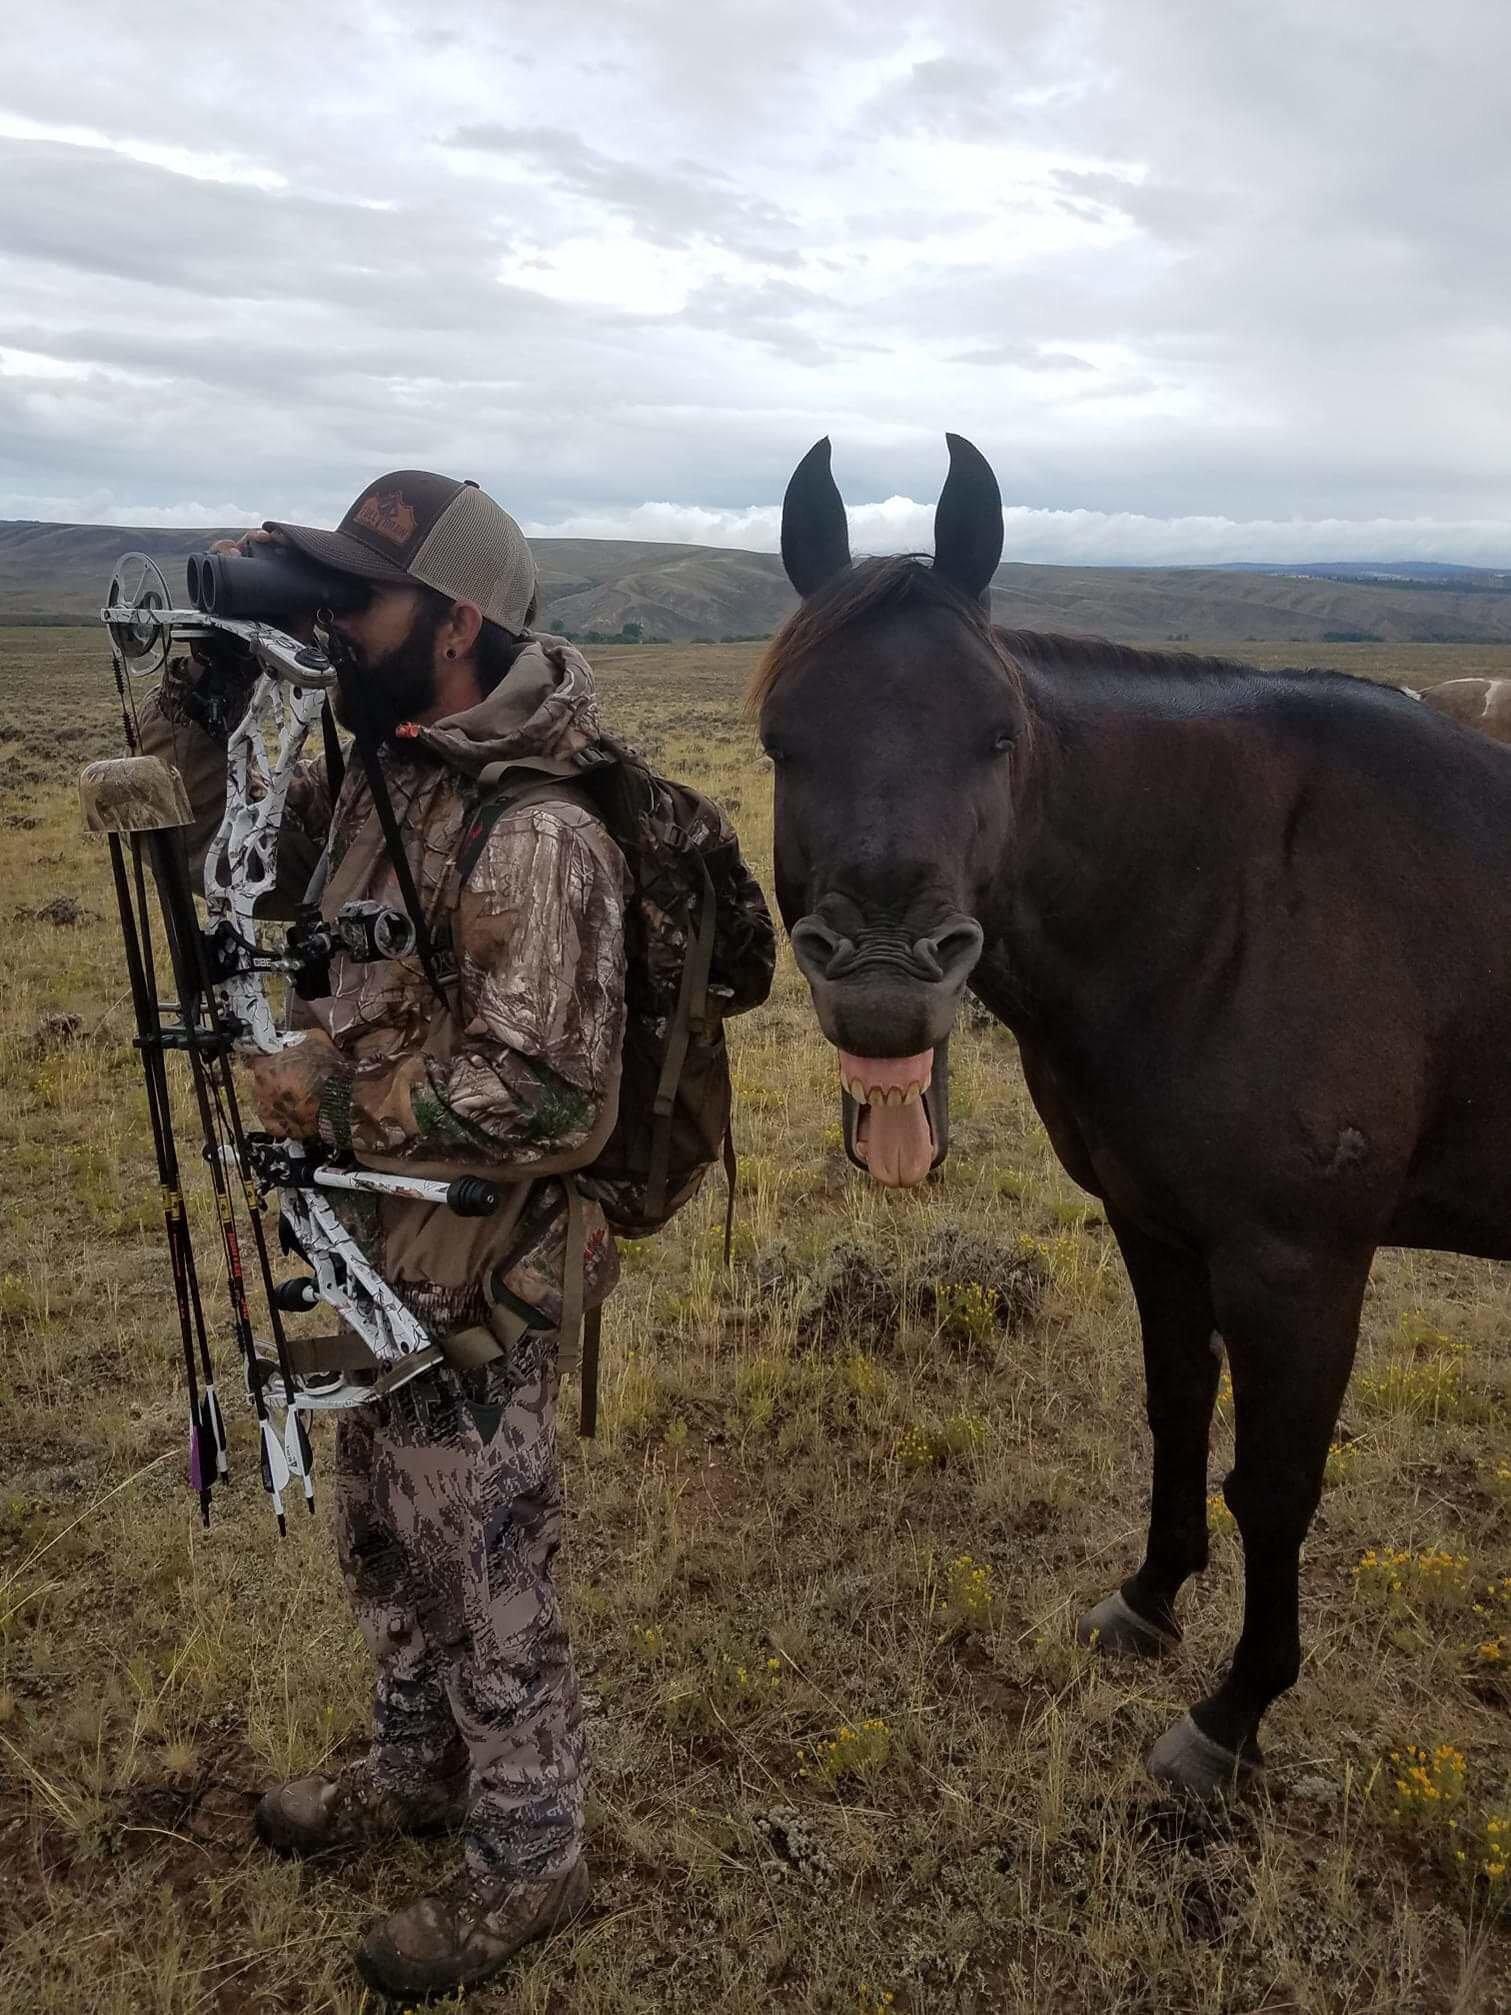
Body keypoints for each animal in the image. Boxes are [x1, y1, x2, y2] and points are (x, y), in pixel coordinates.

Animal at [754, 433, 1511, 1799]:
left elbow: (1274, 1485)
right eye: (783, 739)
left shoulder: (1296, 1263)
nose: (885, 988)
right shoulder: (1154, 1223)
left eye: (998, 735)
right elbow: (1174, 1406)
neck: (1235, 898)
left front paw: (1232, 1713)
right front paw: (1150, 1596)